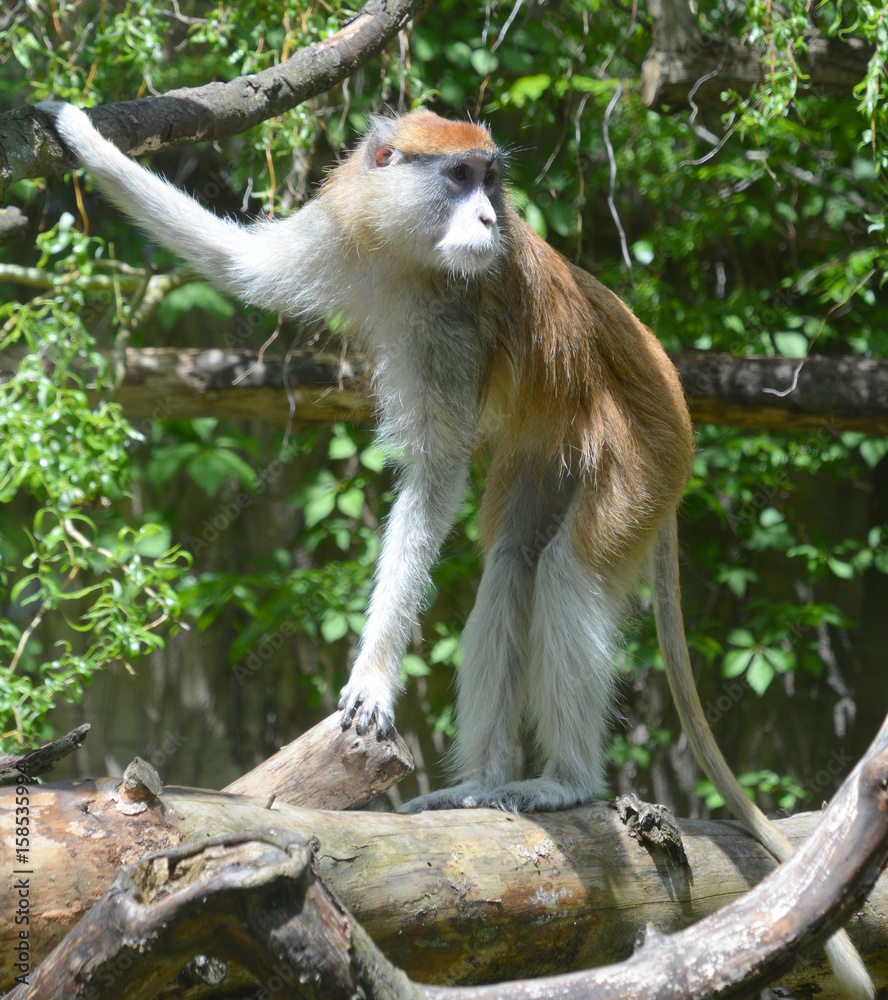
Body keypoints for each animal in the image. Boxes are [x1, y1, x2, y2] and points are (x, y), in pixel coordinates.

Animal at [39, 102, 872, 998]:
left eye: (489, 178)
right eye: (459, 176)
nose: (487, 219)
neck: (413, 252)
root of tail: (677, 398)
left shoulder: (456, 316)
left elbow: (435, 477)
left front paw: (373, 677)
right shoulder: (345, 230)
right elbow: (241, 263)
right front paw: (76, 132)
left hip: (642, 464)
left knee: (567, 573)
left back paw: (566, 783)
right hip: (550, 453)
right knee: (511, 566)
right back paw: (481, 788)